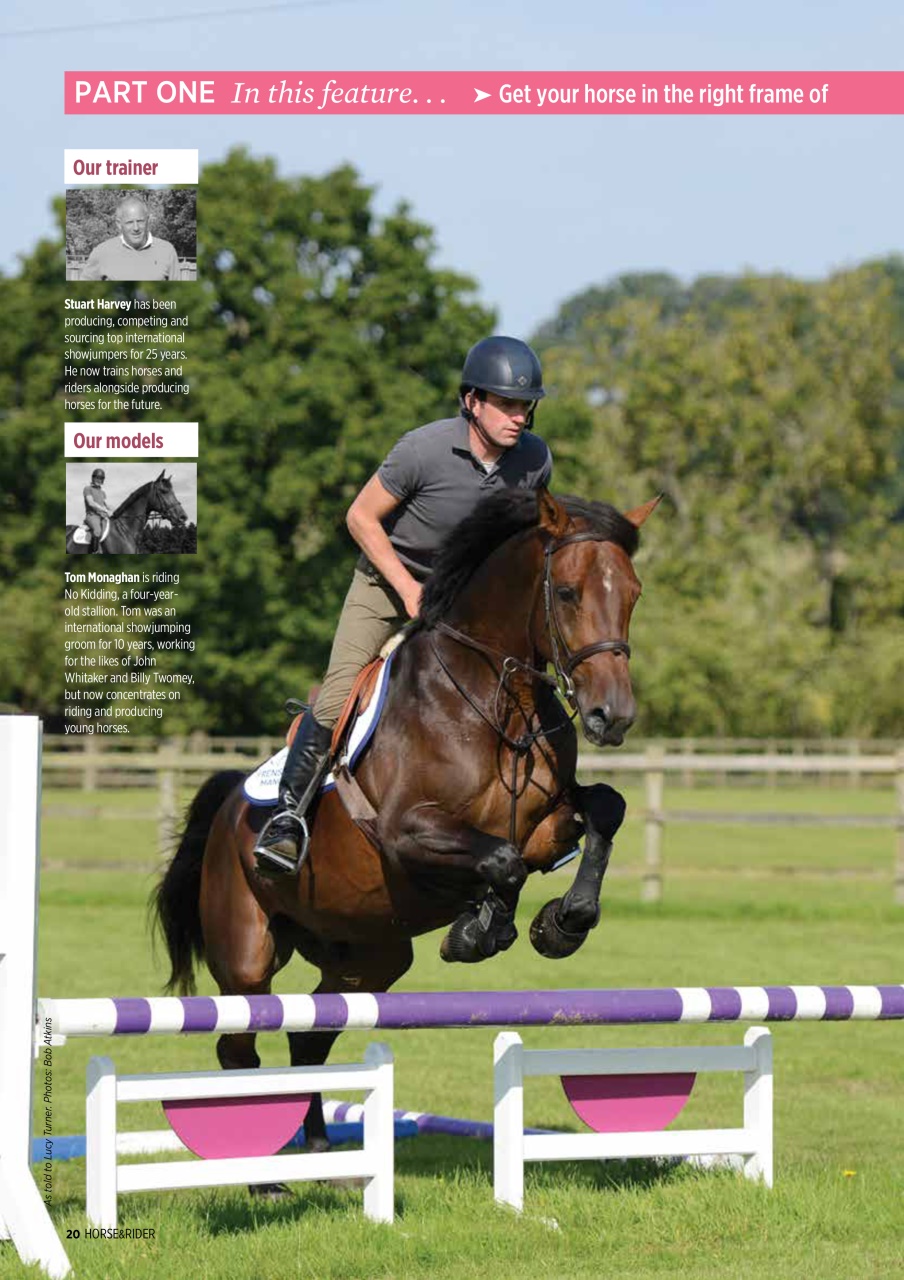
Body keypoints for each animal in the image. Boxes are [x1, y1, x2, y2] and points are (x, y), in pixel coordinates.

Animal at [153, 487, 658, 1151]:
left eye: (633, 592)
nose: (611, 715)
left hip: (368, 960)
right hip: (246, 956)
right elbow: (502, 861)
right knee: (239, 1049)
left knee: (309, 1038)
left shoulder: (548, 826)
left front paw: (562, 922)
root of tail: (228, 807)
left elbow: (602, 812)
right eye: (569, 592)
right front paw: (480, 930)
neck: (497, 703)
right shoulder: (406, 833)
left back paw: (319, 1149)